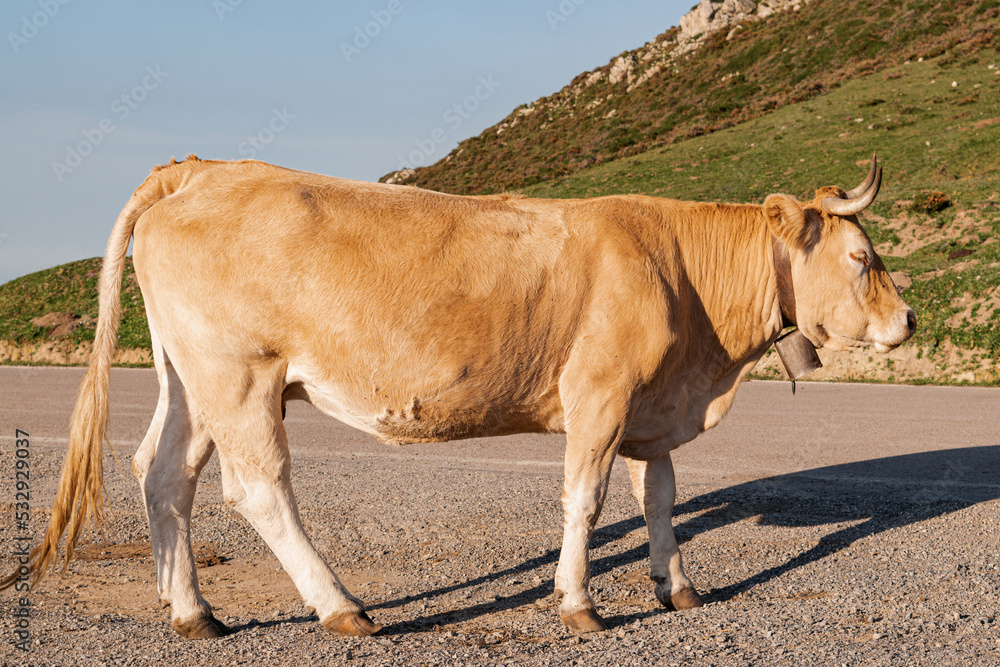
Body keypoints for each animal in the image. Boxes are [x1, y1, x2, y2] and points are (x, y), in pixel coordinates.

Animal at [2, 154, 914, 638]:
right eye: (863, 256)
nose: (907, 319)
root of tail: (200, 168)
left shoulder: (651, 408)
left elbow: (657, 497)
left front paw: (677, 586)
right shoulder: (599, 394)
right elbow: (584, 501)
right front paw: (578, 603)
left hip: (191, 379)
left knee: (163, 474)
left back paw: (190, 608)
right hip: (241, 374)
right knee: (257, 487)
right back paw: (341, 606)